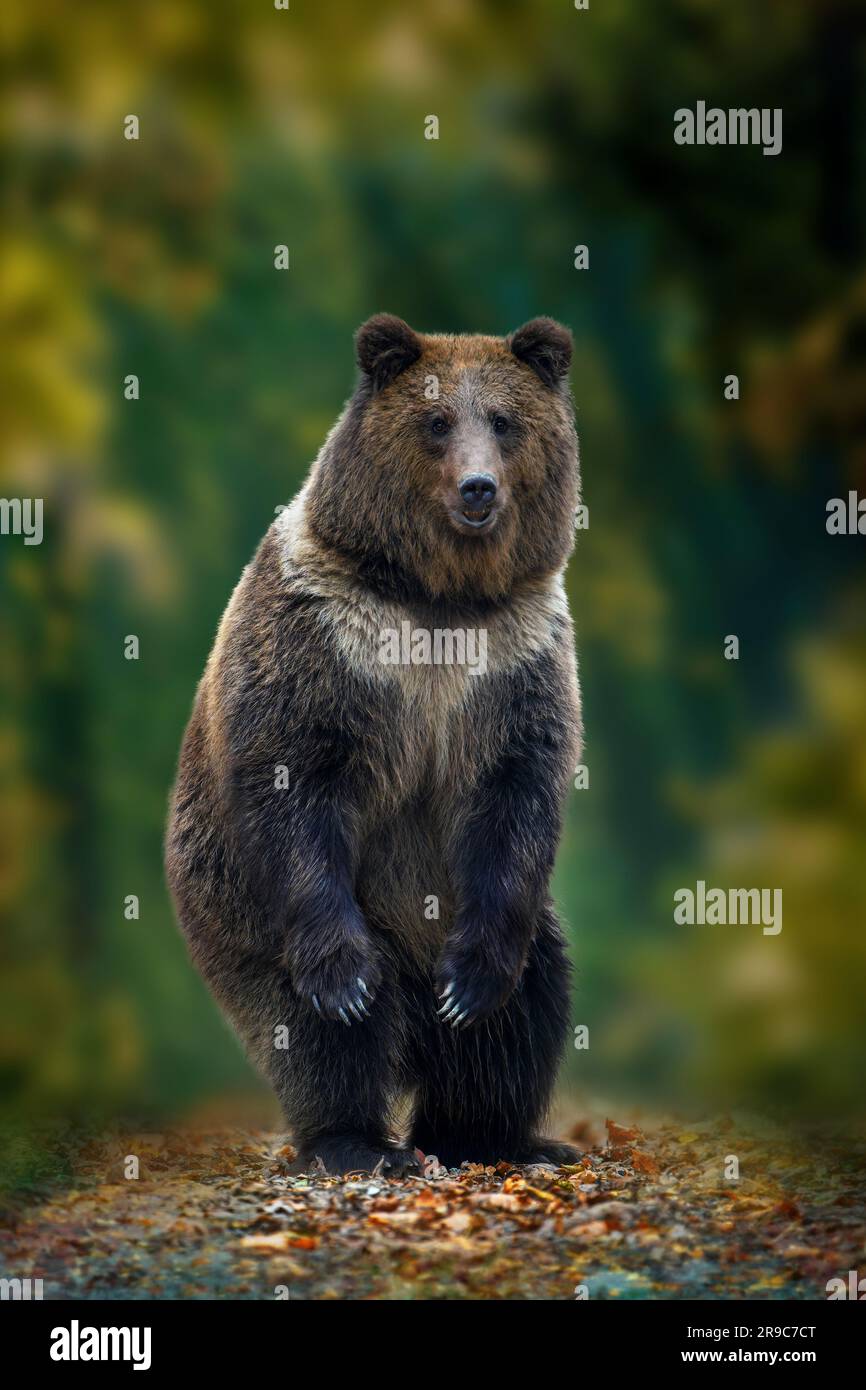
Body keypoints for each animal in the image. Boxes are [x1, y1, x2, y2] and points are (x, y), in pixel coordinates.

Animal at [165, 314, 583, 1176]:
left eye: (504, 421)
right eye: (436, 421)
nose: (479, 488)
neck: (439, 599)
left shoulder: (514, 656)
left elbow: (519, 787)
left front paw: (471, 989)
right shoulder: (328, 639)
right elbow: (292, 777)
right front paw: (344, 984)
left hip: (496, 921)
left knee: (529, 1007)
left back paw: (500, 1133)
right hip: (243, 921)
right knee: (316, 1036)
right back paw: (357, 1140)